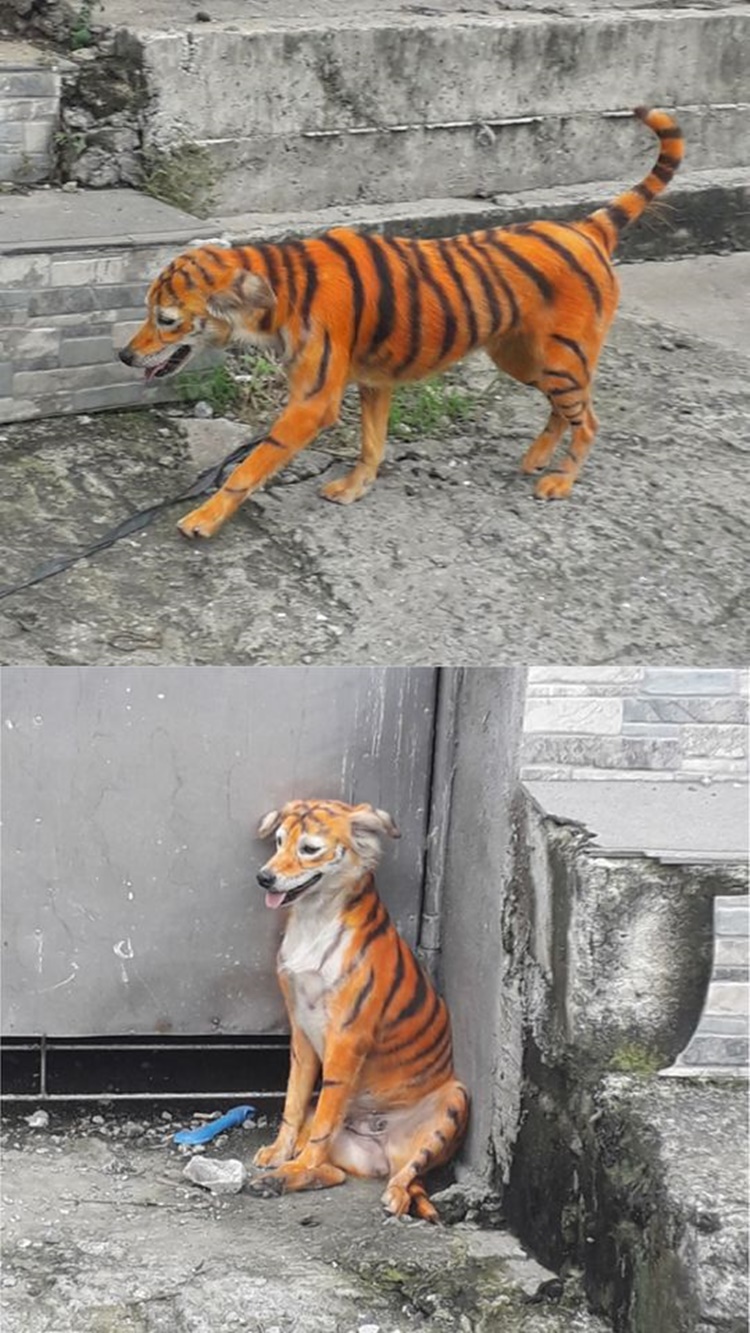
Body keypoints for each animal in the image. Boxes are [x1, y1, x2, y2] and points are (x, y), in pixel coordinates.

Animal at [118, 106, 684, 539]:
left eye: (166, 319)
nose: (124, 355)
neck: (278, 290)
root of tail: (587, 227)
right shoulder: (373, 382)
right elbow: (372, 443)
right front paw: (354, 488)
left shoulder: (314, 401)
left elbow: (251, 465)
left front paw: (203, 518)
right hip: (524, 358)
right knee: (565, 410)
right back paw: (536, 459)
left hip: (561, 358)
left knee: (588, 419)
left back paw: (560, 481)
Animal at [250, 798, 469, 1222]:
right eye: (280, 840)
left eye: (310, 849)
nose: (263, 878)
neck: (313, 918)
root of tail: (382, 1145)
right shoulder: (300, 1031)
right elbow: (292, 1103)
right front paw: (280, 1155)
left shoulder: (346, 1037)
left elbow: (322, 1123)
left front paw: (295, 1163)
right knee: (333, 1173)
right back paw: (277, 1180)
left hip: (455, 1100)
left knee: (405, 1178)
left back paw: (388, 1196)